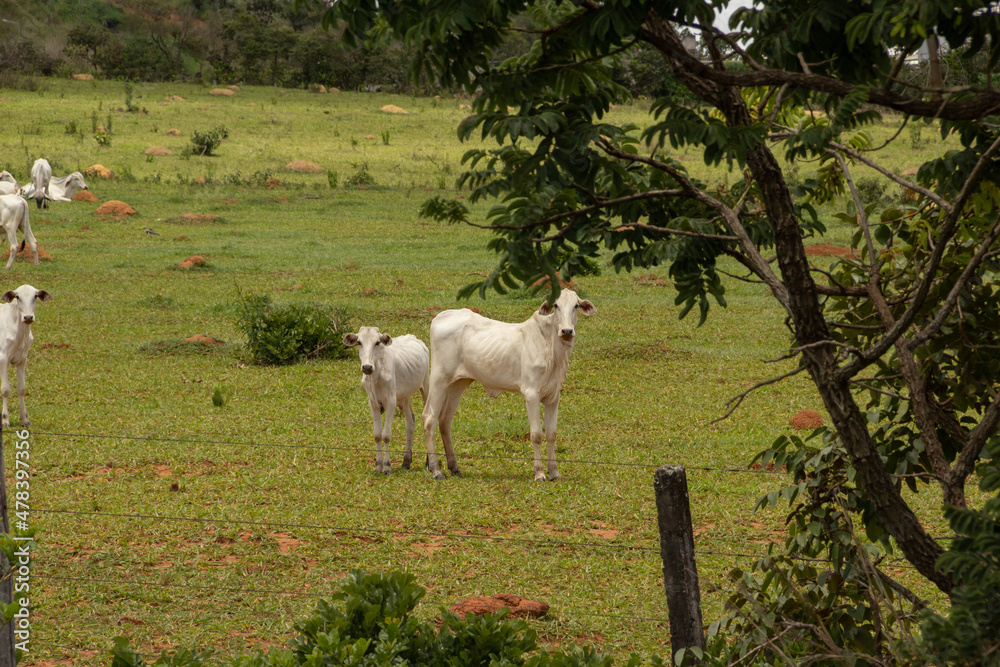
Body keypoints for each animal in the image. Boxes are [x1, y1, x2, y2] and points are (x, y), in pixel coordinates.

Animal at [0, 284, 51, 427]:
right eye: (17, 297)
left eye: (35, 296)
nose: (28, 317)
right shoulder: (3, 358)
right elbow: (5, 389)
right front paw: (5, 419)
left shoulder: (23, 359)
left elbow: (21, 388)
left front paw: (25, 418)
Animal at [343, 327, 430, 474]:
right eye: (359, 342)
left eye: (377, 342)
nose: (367, 367)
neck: (377, 376)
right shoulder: (373, 403)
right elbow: (378, 435)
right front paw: (378, 465)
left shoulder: (390, 402)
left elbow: (386, 435)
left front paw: (387, 466)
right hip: (404, 397)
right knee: (410, 422)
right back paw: (406, 461)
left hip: (426, 387)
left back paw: (430, 462)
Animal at [421, 288, 596, 481]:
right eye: (556, 305)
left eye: (576, 306)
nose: (566, 330)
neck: (551, 348)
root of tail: (440, 316)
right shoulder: (531, 394)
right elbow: (536, 434)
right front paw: (539, 472)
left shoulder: (553, 396)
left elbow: (551, 434)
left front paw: (554, 472)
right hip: (439, 379)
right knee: (429, 419)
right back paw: (436, 469)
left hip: (458, 383)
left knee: (445, 421)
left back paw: (454, 467)